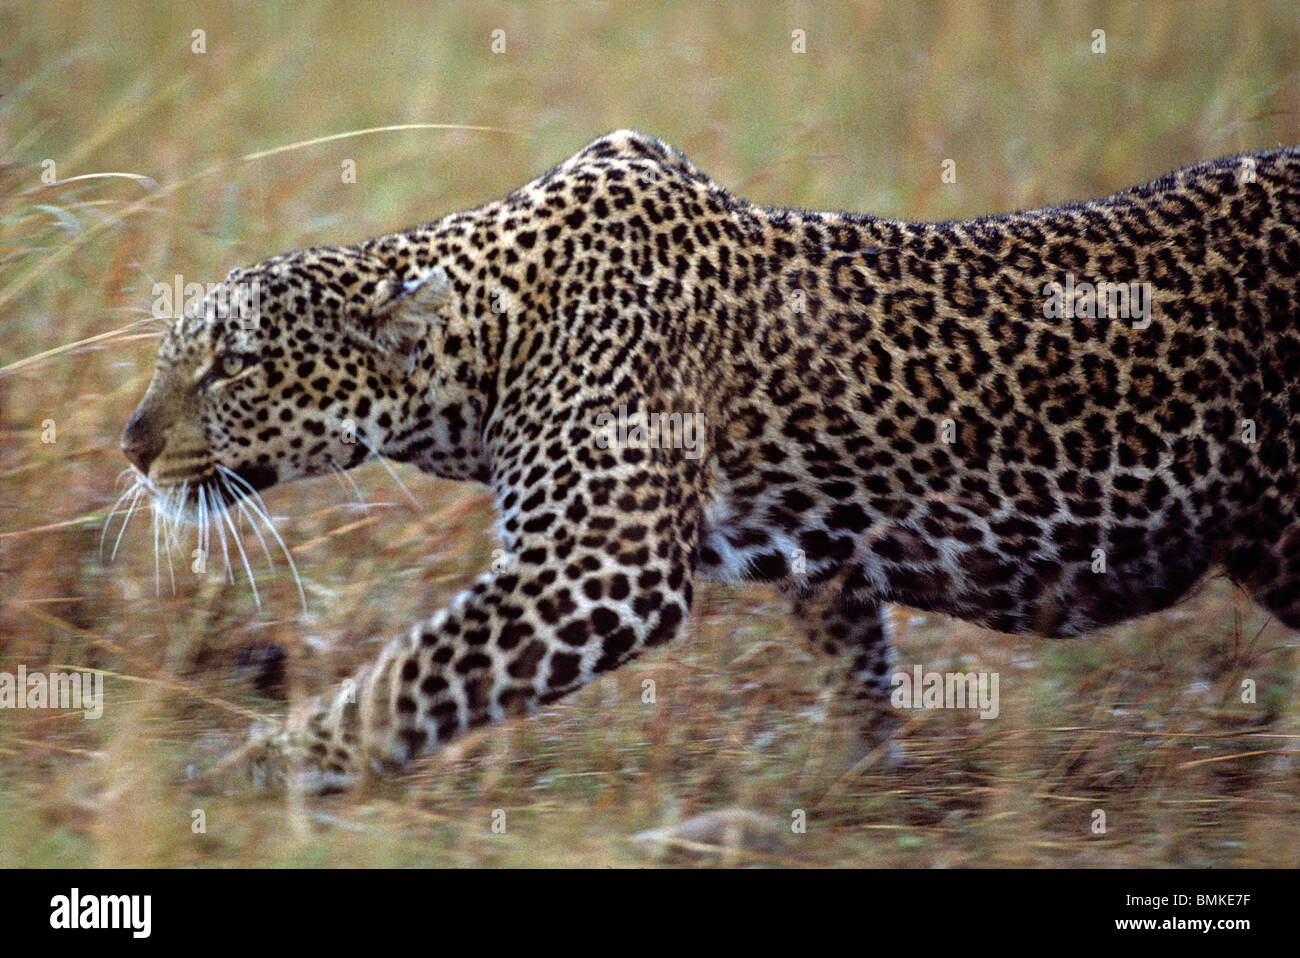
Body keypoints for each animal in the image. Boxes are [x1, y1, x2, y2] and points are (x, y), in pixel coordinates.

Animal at [118, 130, 1300, 794]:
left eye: (230, 364)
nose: (130, 443)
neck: (489, 340)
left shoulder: (598, 567)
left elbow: (405, 676)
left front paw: (252, 771)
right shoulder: (821, 549)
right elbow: (855, 661)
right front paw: (856, 786)